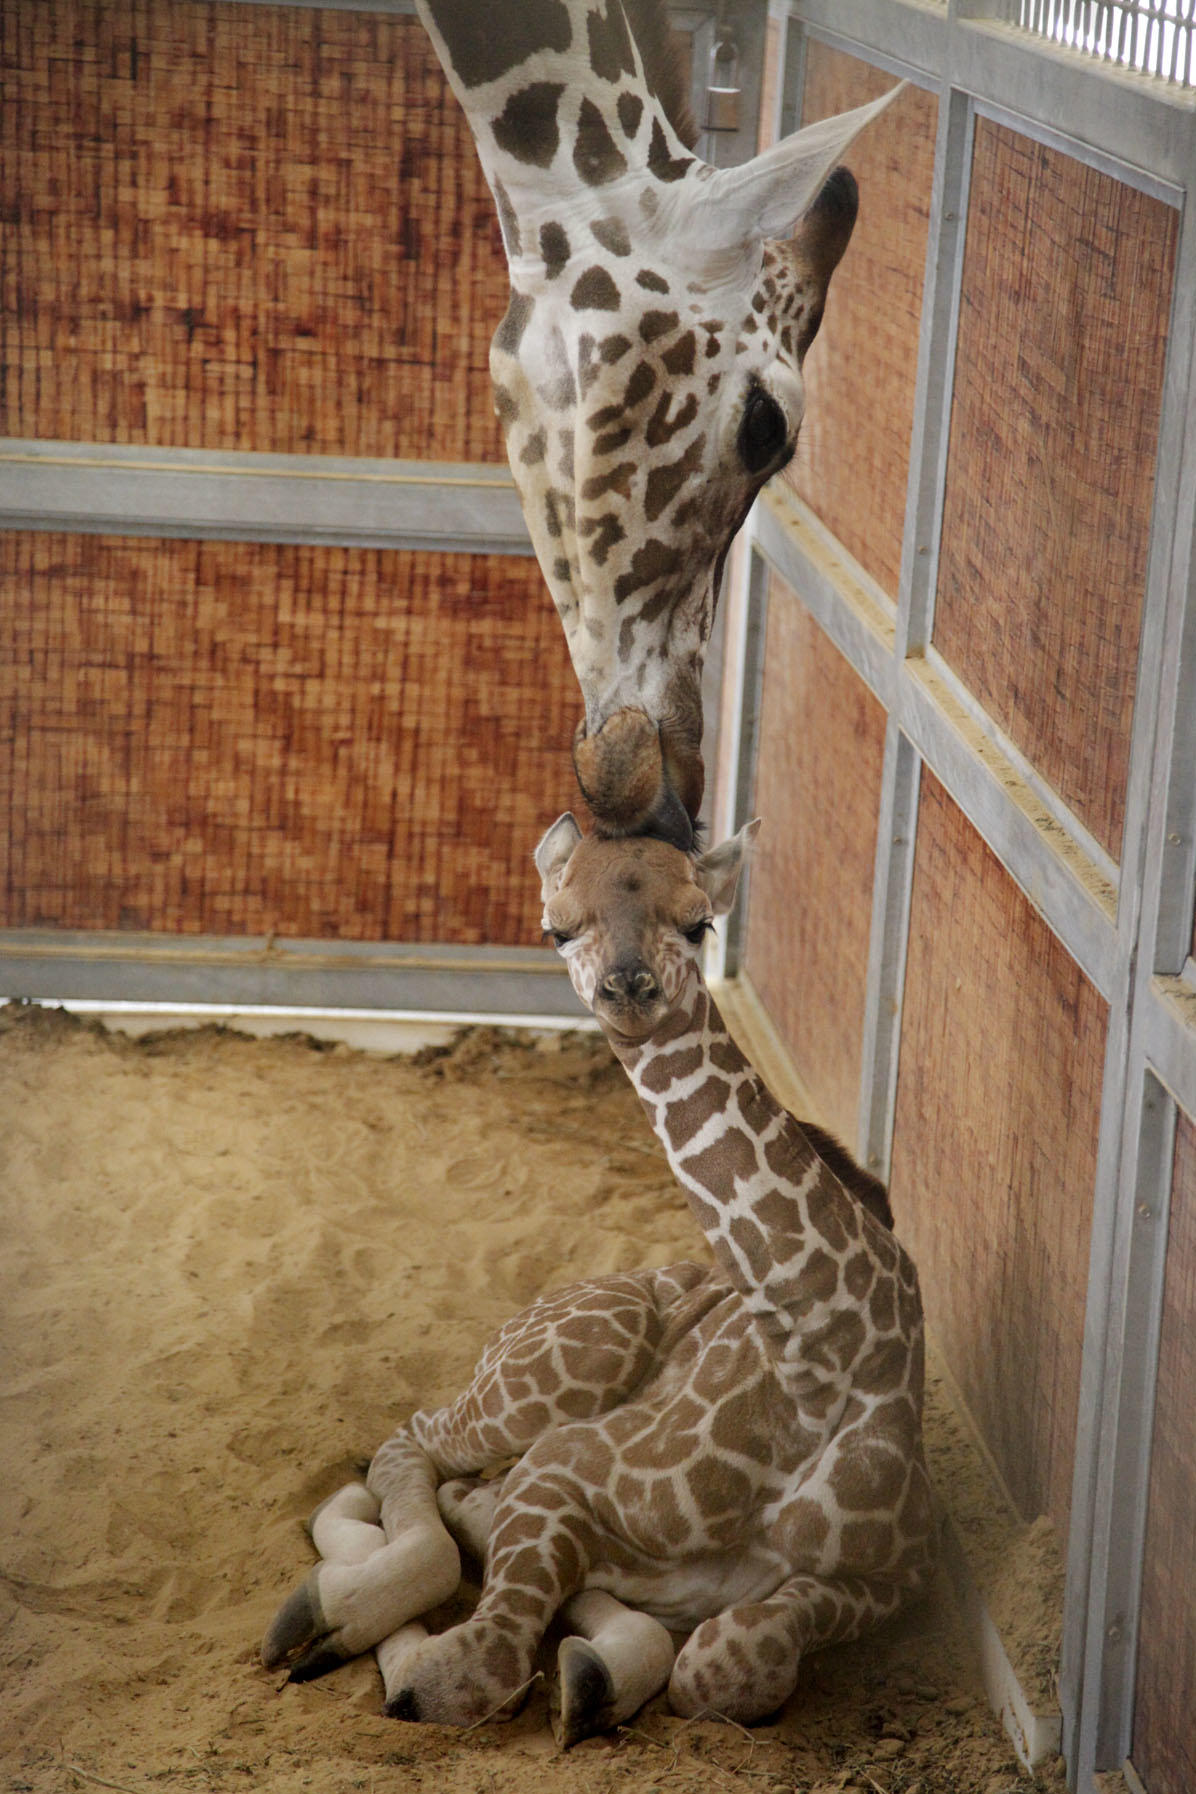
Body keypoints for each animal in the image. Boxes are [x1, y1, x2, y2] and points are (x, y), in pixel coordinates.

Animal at [261, 818, 935, 1742]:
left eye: (699, 921)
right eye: (558, 927)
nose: (628, 988)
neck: (829, 1352)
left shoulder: (894, 1578)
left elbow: (726, 1663)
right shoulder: (561, 1467)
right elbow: (454, 1673)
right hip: (566, 1366)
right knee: (413, 1441)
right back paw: (329, 1609)